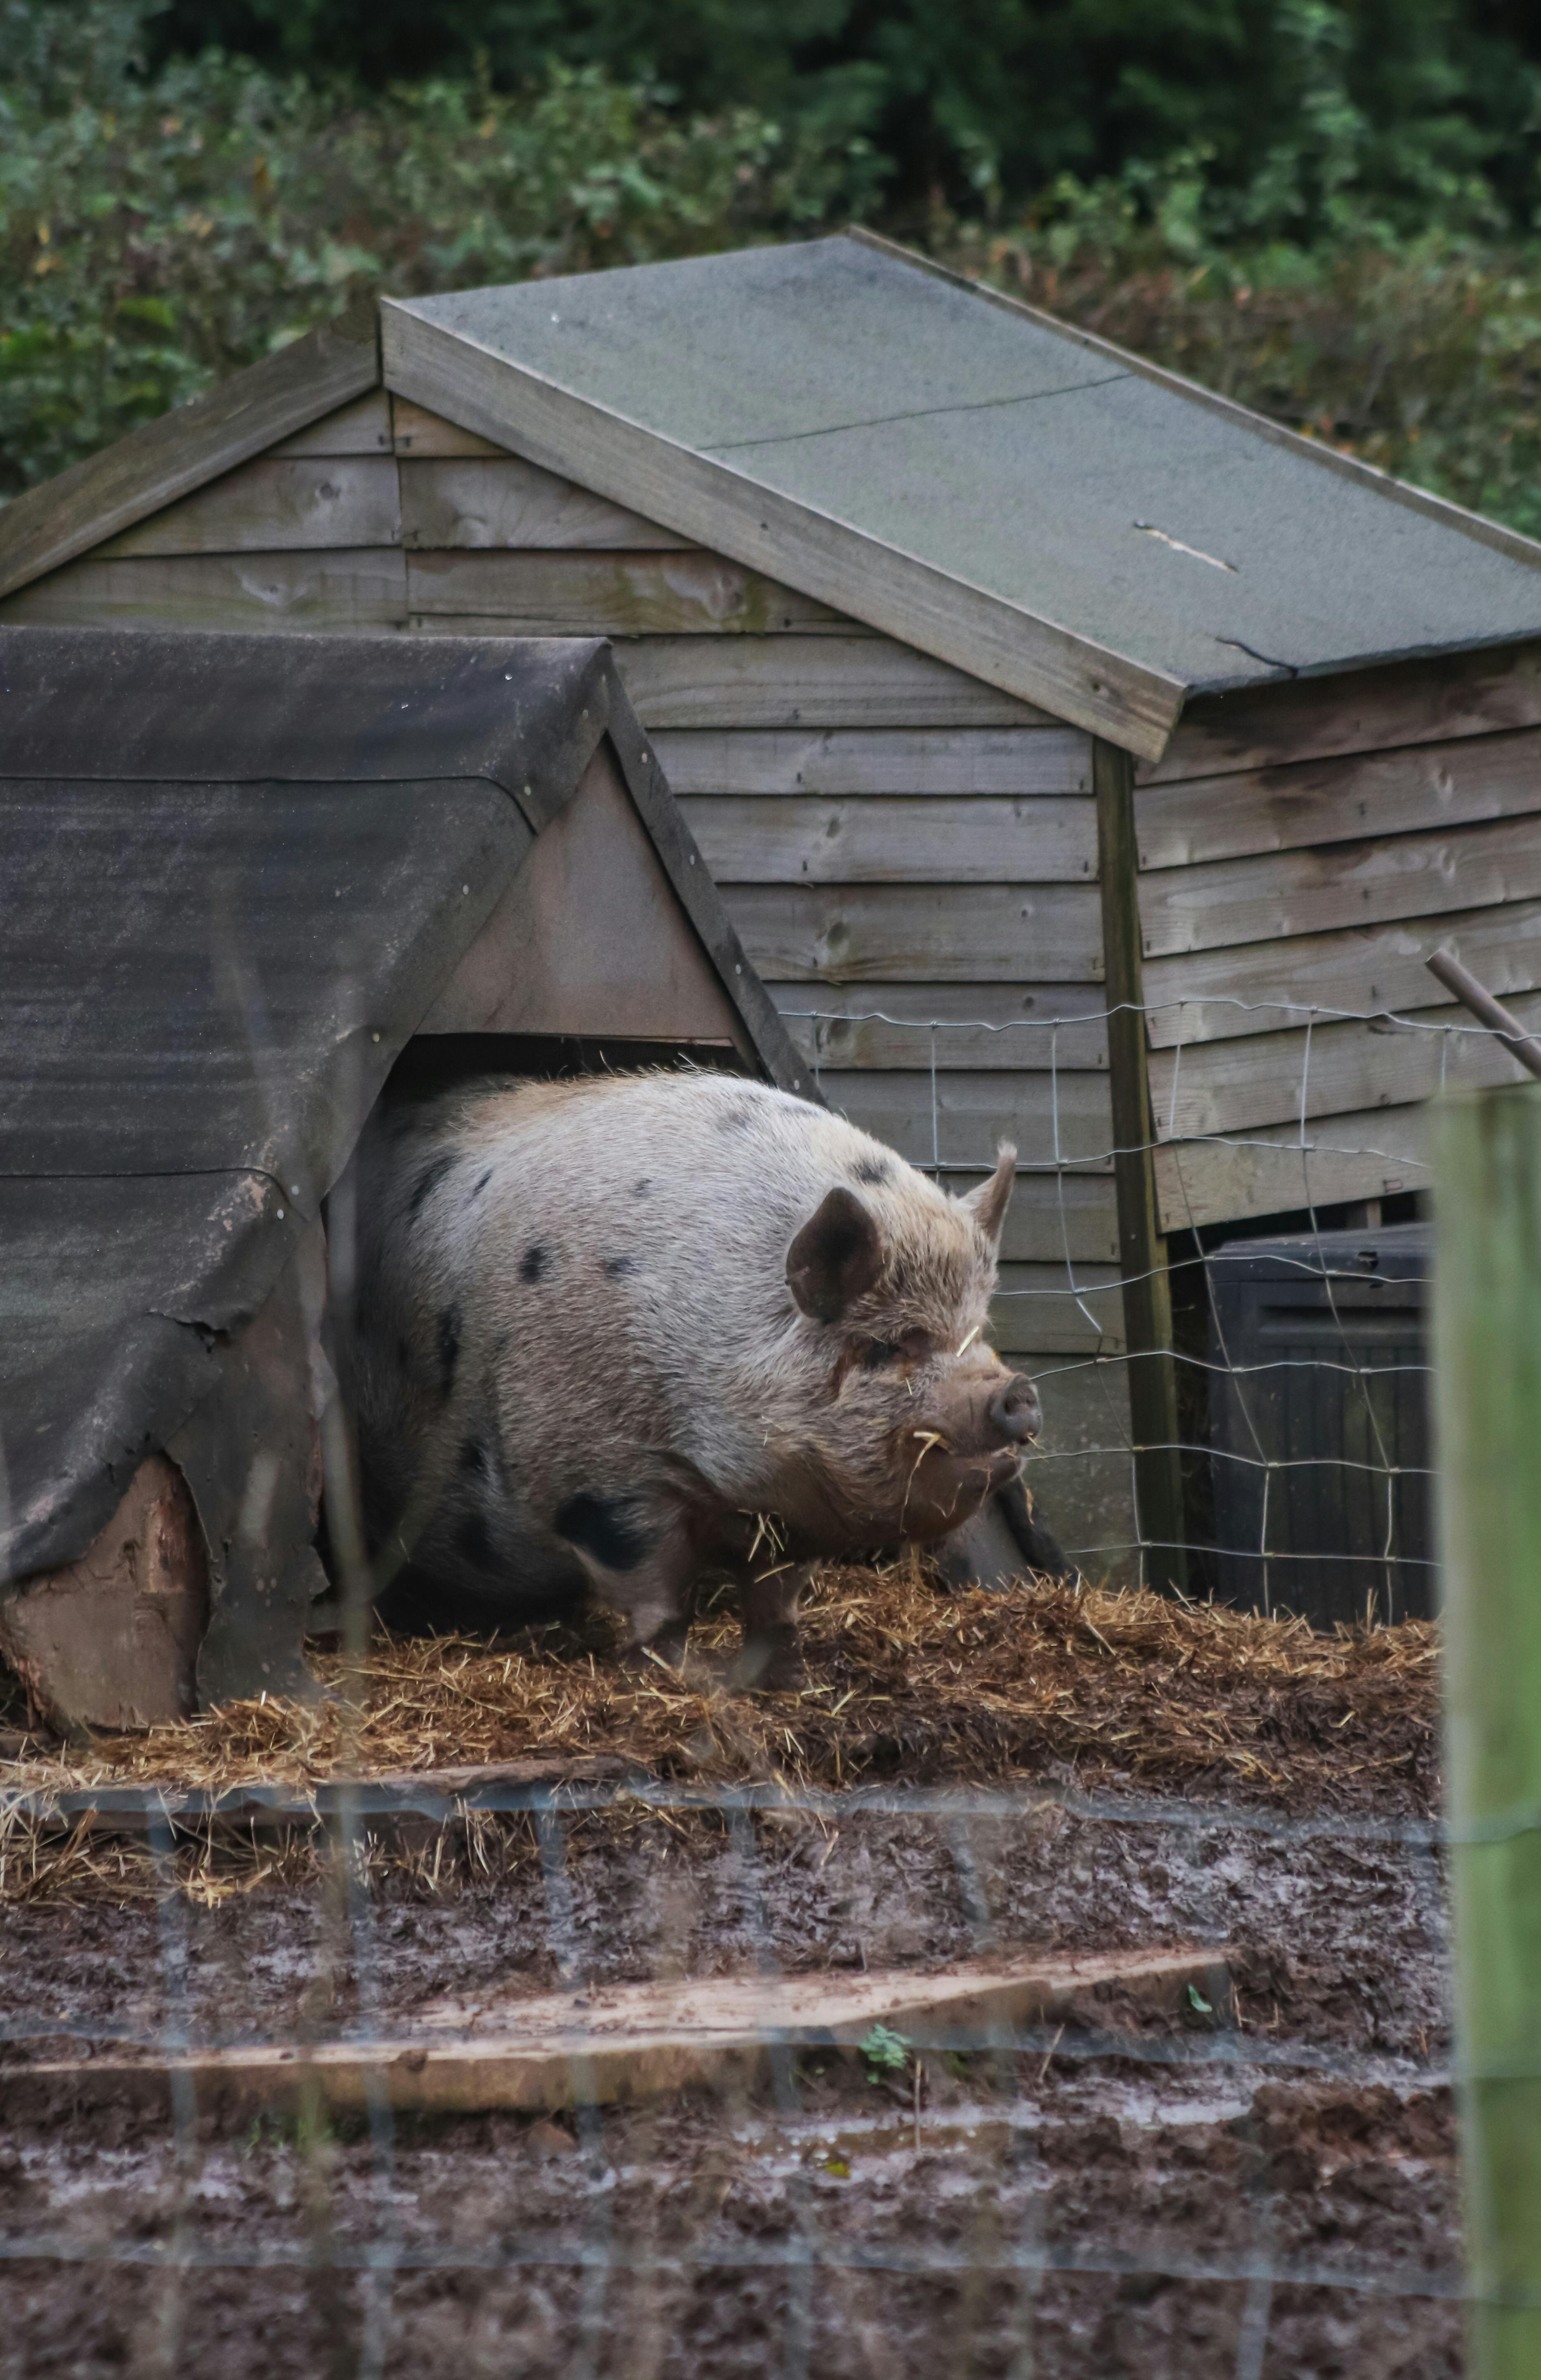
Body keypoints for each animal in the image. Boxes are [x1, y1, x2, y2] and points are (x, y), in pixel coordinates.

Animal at [340, 1070, 1044, 1684]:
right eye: (890, 1345)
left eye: (975, 1330)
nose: (1018, 1391)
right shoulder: (599, 1474)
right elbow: (652, 1587)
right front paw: (690, 1676)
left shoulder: (793, 1510)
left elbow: (776, 1595)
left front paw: (785, 1674)